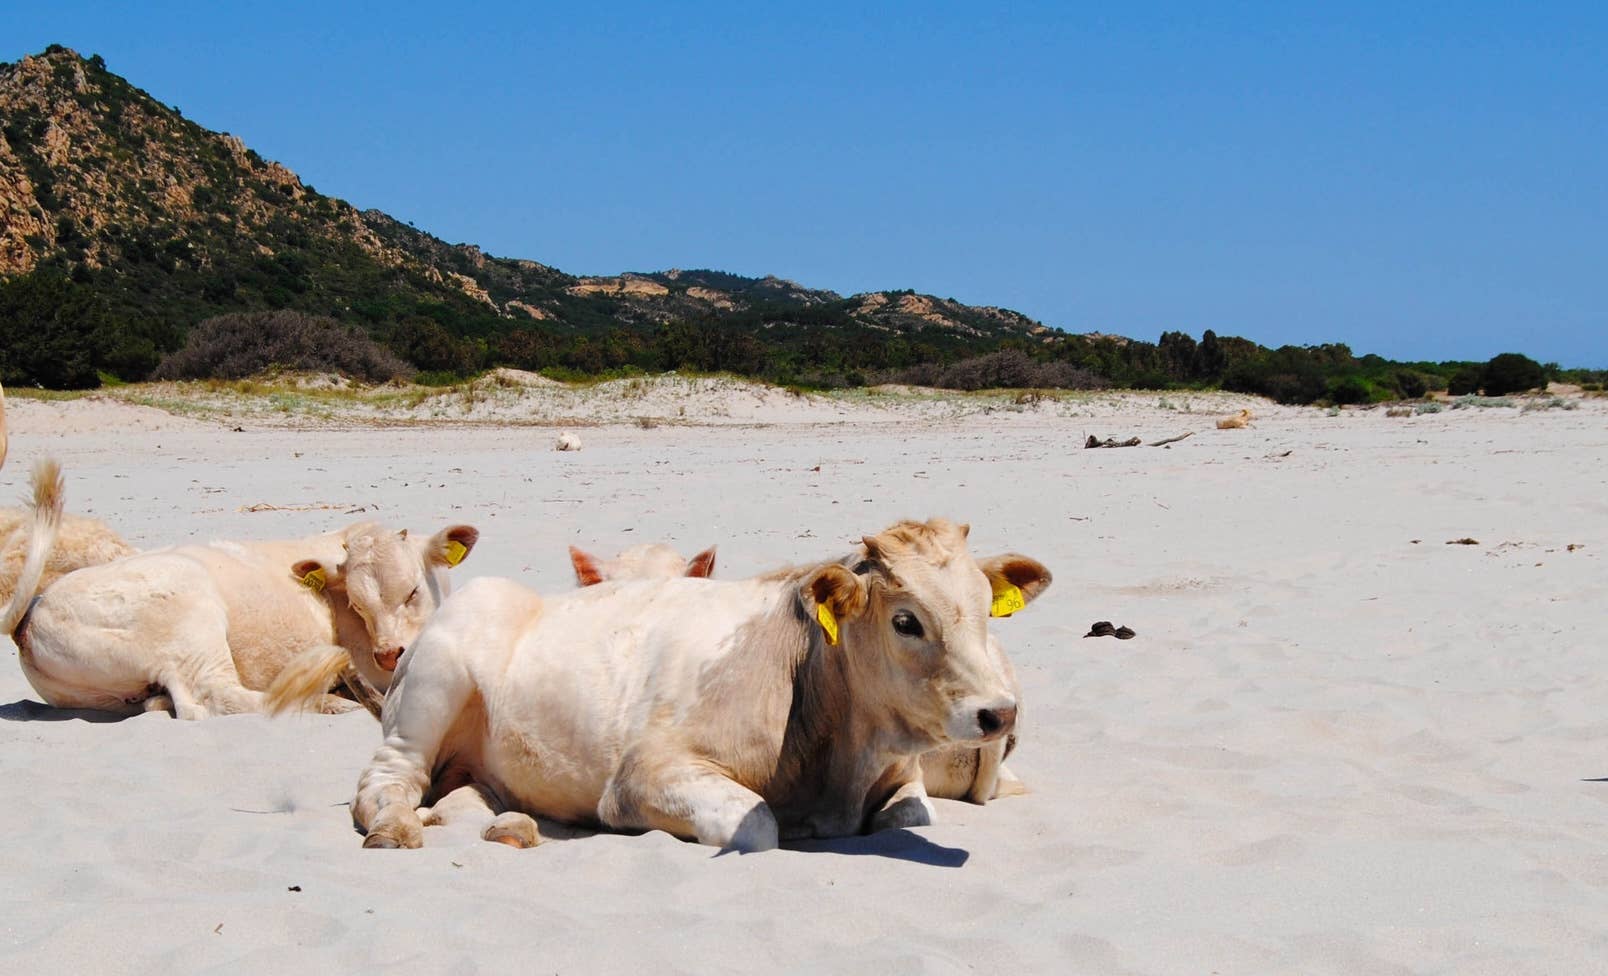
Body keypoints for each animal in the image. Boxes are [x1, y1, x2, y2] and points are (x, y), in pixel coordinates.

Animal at [3, 460, 478, 719]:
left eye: (412, 592)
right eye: (357, 606)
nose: (388, 653)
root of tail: (31, 615)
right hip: (192, 623)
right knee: (212, 700)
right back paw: (325, 701)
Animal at [352, 518, 1050, 852]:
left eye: (986, 609)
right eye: (906, 620)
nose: (1001, 713)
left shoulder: (901, 779)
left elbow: (911, 812)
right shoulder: (644, 774)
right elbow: (758, 823)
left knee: (465, 795)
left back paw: (508, 824)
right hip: (434, 685)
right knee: (387, 781)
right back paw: (395, 825)